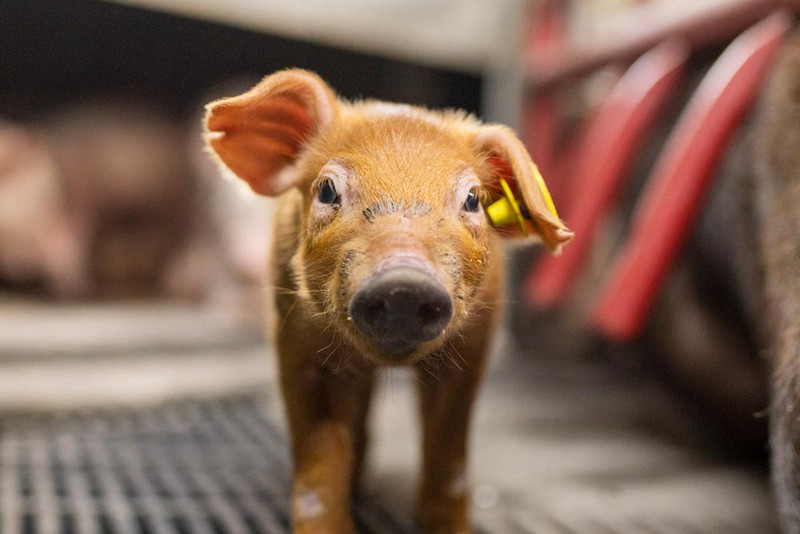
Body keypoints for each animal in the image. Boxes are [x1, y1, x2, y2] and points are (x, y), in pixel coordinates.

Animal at [203, 69, 572, 533]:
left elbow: (448, 456)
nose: (403, 284)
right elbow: (319, 454)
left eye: (472, 199)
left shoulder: (473, 347)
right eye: (327, 190)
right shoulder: (296, 341)